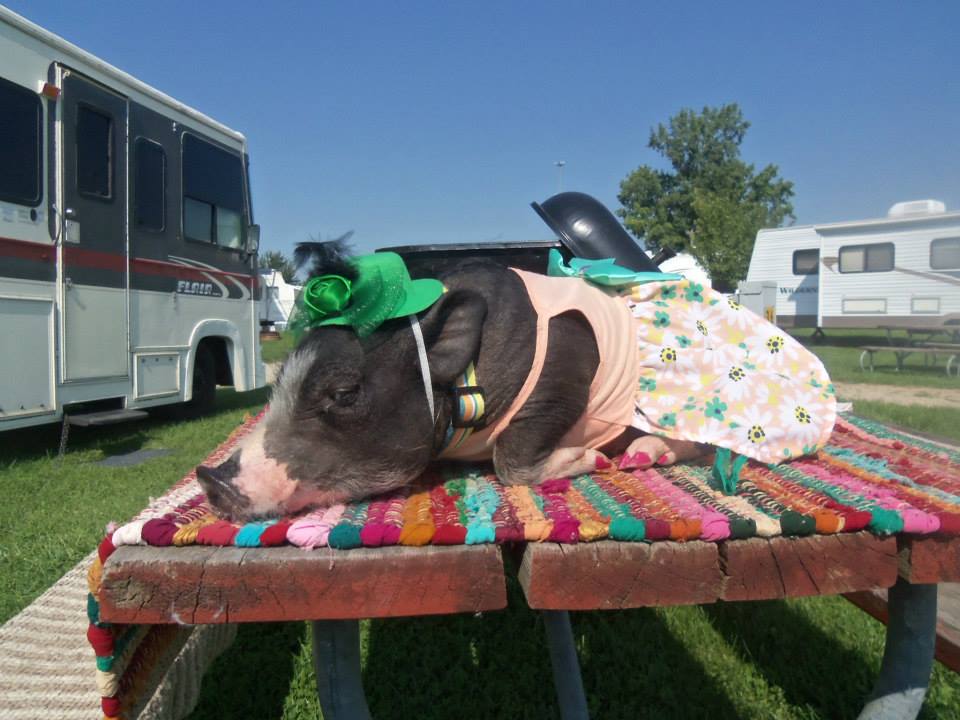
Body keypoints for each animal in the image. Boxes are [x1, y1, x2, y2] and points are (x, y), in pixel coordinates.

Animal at [196, 243, 702, 521]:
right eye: (280, 381)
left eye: (343, 393)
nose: (208, 477)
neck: (465, 385)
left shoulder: (565, 373)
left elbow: (511, 457)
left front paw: (593, 460)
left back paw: (640, 456)